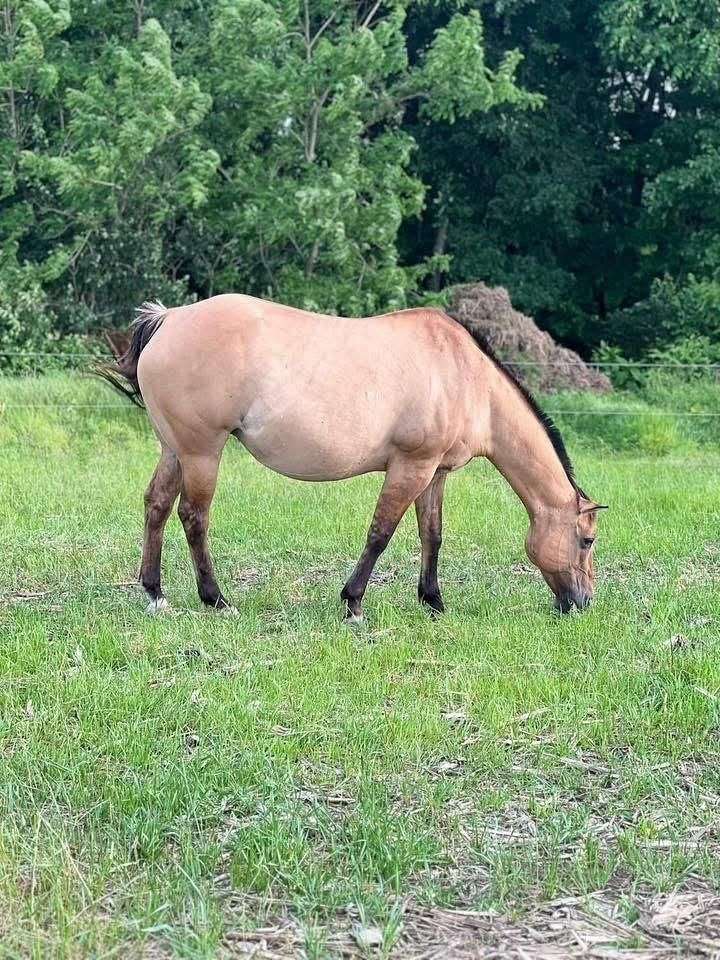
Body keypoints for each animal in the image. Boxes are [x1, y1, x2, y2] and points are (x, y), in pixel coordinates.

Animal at [98, 294, 607, 620]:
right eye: (587, 541)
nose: (583, 604)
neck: (465, 377)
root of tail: (169, 319)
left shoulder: (435, 473)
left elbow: (432, 535)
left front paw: (434, 601)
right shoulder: (411, 466)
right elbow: (380, 533)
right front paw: (354, 602)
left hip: (174, 450)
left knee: (157, 506)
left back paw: (155, 593)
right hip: (202, 451)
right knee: (193, 515)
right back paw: (216, 599)